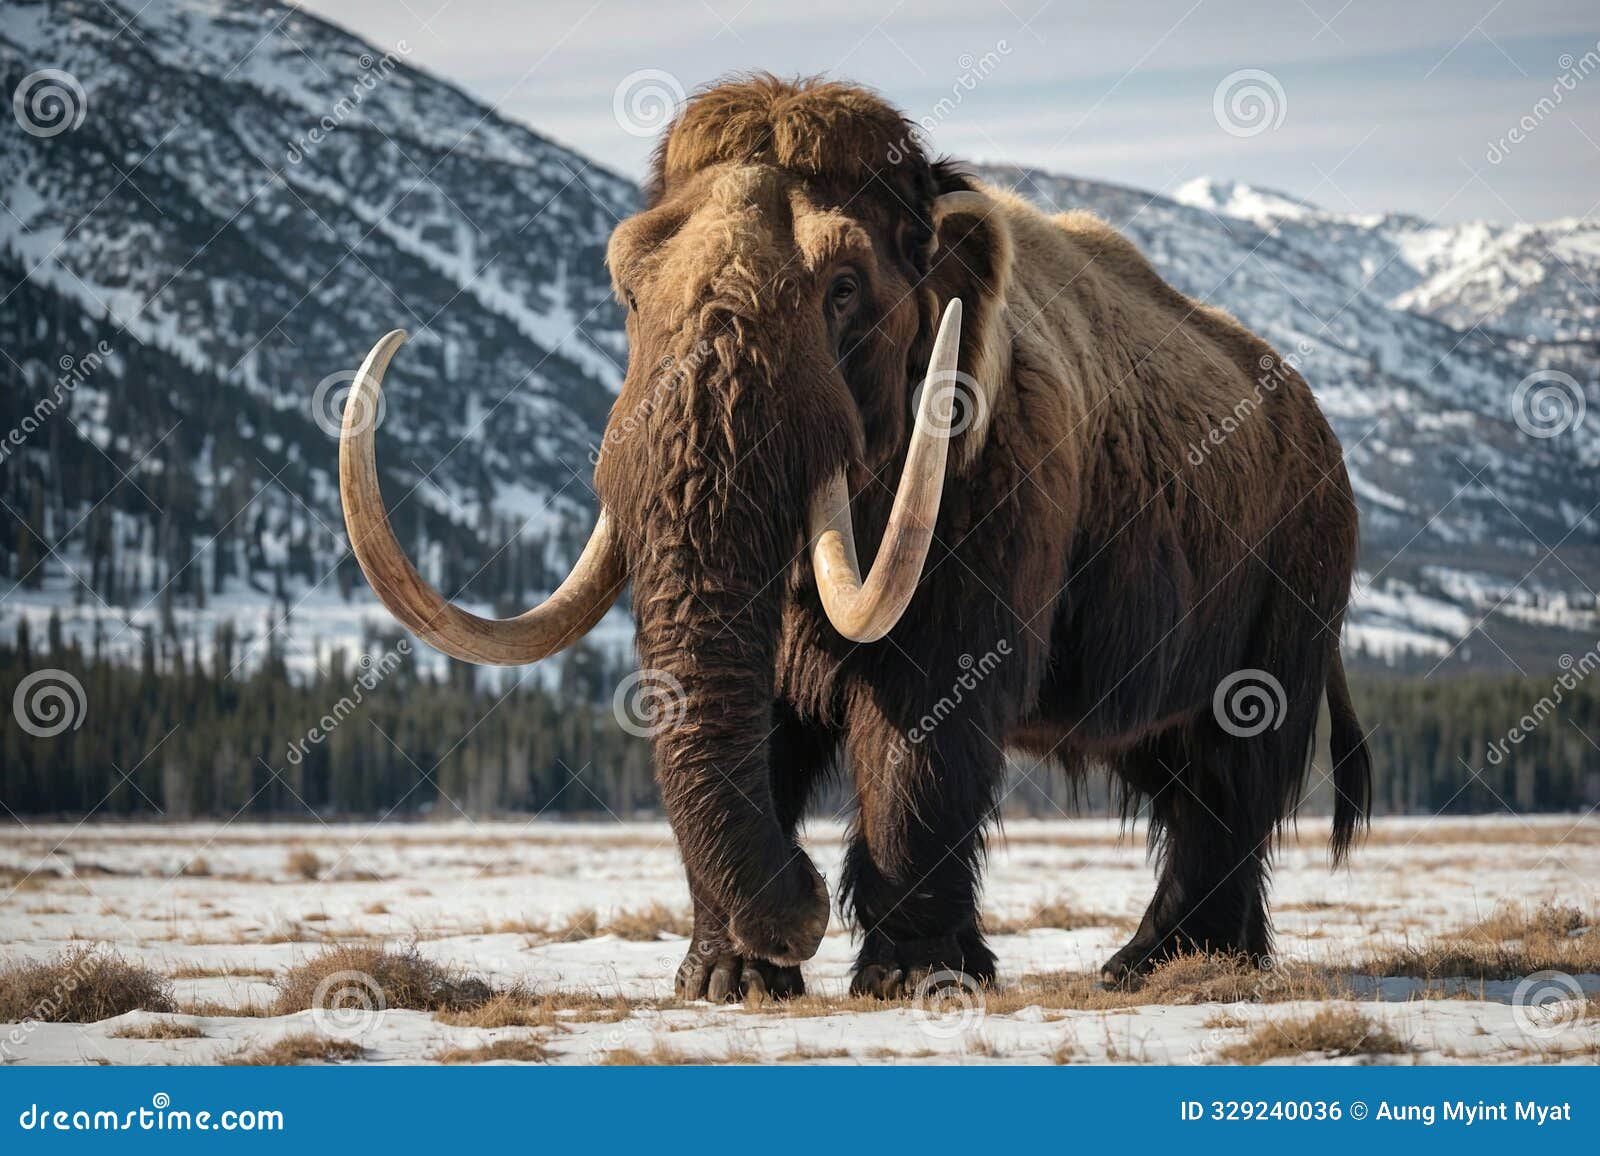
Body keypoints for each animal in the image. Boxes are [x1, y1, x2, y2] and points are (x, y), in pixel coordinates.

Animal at [336, 75, 1371, 1000]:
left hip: (1285, 622)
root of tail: (1315, 423)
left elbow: (921, 738)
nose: (799, 901)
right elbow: (752, 722)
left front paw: (915, 973)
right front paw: (733, 977)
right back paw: (1168, 961)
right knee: (1184, 784)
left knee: (1231, 786)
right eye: (628, 290)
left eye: (842, 287)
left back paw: (1177, 964)